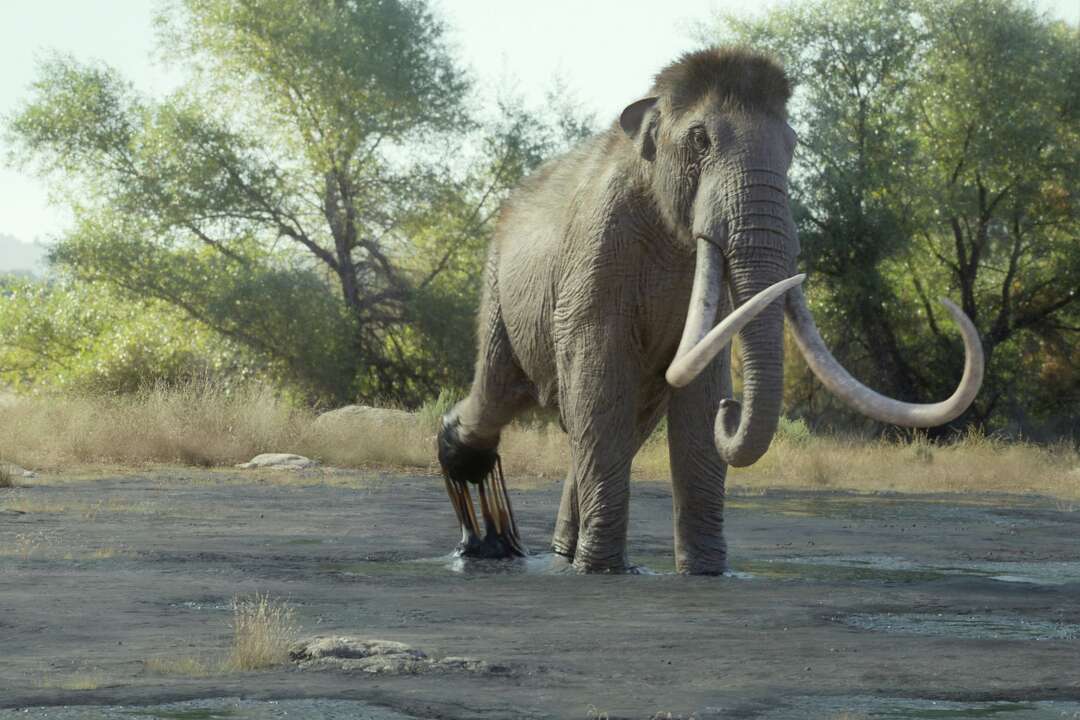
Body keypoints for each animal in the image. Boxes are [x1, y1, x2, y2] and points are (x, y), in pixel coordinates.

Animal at [437, 47, 983, 574]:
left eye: (793, 146)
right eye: (700, 140)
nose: (733, 410)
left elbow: (696, 398)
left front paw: (706, 573)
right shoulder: (593, 258)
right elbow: (600, 386)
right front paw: (604, 572)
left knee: (618, 421)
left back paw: (554, 552)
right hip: (497, 286)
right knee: (504, 391)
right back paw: (484, 515)